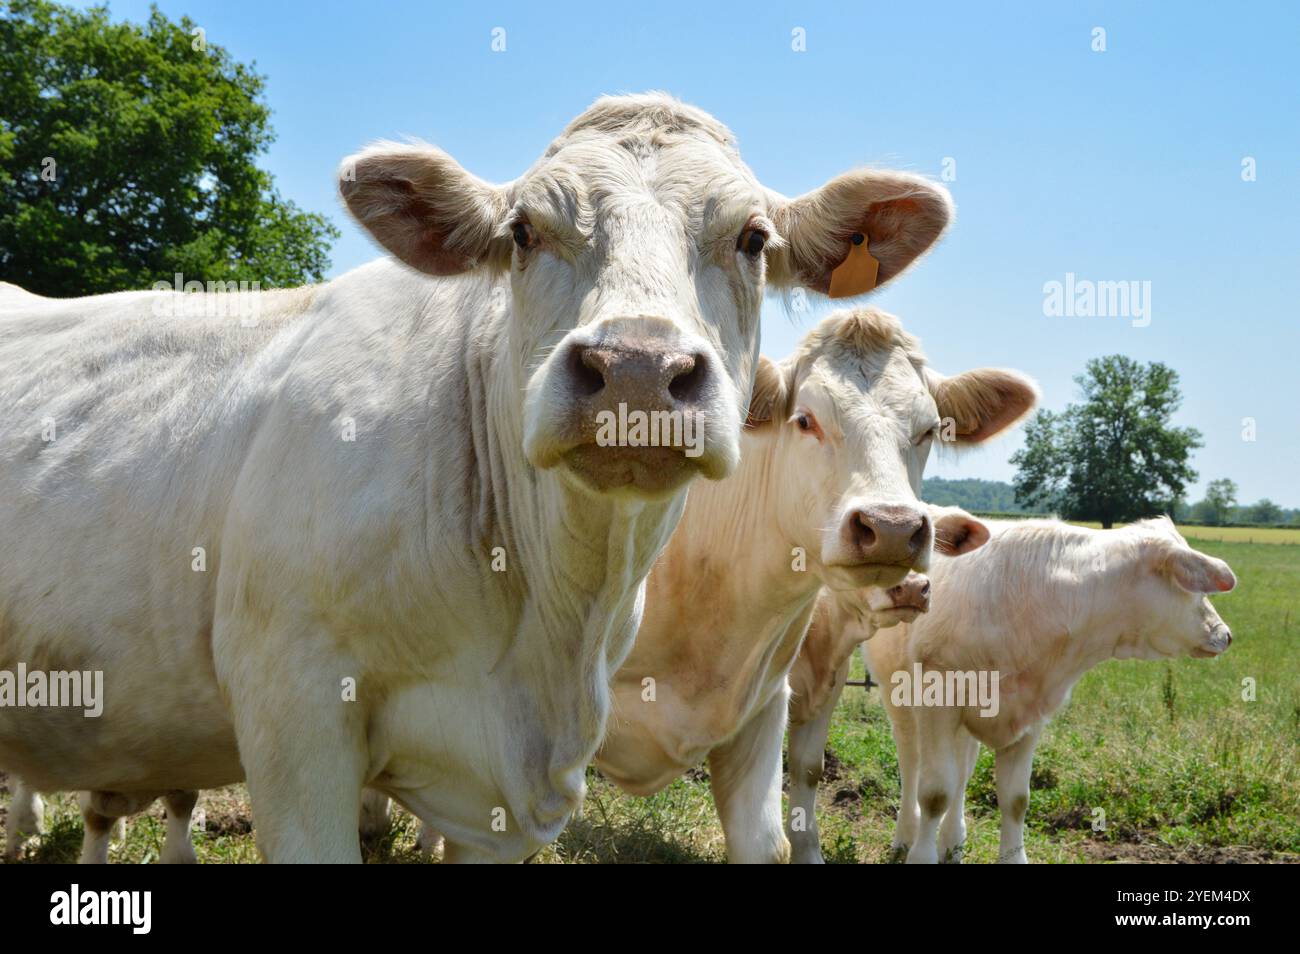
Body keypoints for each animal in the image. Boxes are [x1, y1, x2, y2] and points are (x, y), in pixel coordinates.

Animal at [787, 517, 1237, 864]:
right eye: (1194, 586)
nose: (1225, 635)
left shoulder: (1033, 714)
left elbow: (1015, 799)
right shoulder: (938, 701)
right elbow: (934, 792)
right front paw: (921, 854)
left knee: (963, 772)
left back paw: (954, 842)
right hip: (903, 705)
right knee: (913, 766)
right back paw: (907, 837)